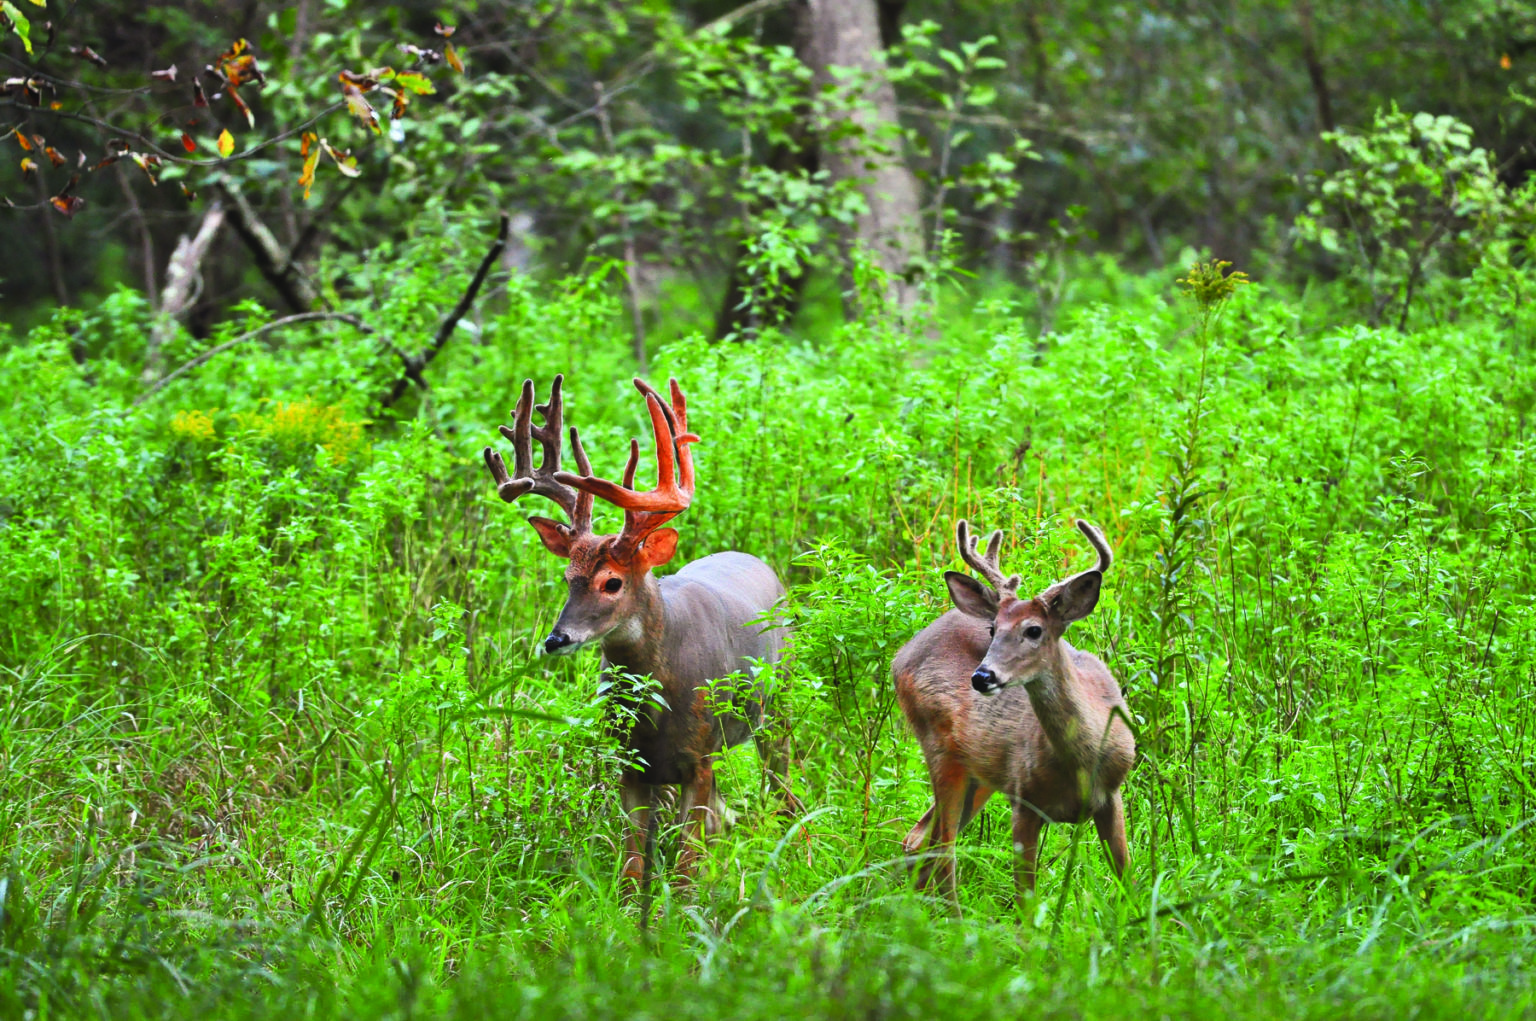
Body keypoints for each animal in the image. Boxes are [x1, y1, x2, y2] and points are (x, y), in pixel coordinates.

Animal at [482, 374, 796, 895]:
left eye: (612, 582)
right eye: (567, 577)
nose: (556, 640)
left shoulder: (699, 753)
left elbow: (687, 865)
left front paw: (687, 906)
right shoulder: (630, 762)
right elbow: (632, 864)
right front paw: (630, 907)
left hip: (780, 705)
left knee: (782, 784)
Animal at [892, 518, 1135, 904]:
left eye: (1034, 630)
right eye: (993, 629)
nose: (982, 676)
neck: (1081, 762)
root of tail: (900, 656)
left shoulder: (1112, 796)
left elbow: (1129, 881)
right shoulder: (1024, 800)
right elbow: (1026, 900)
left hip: (978, 775)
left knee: (919, 841)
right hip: (940, 749)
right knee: (942, 852)